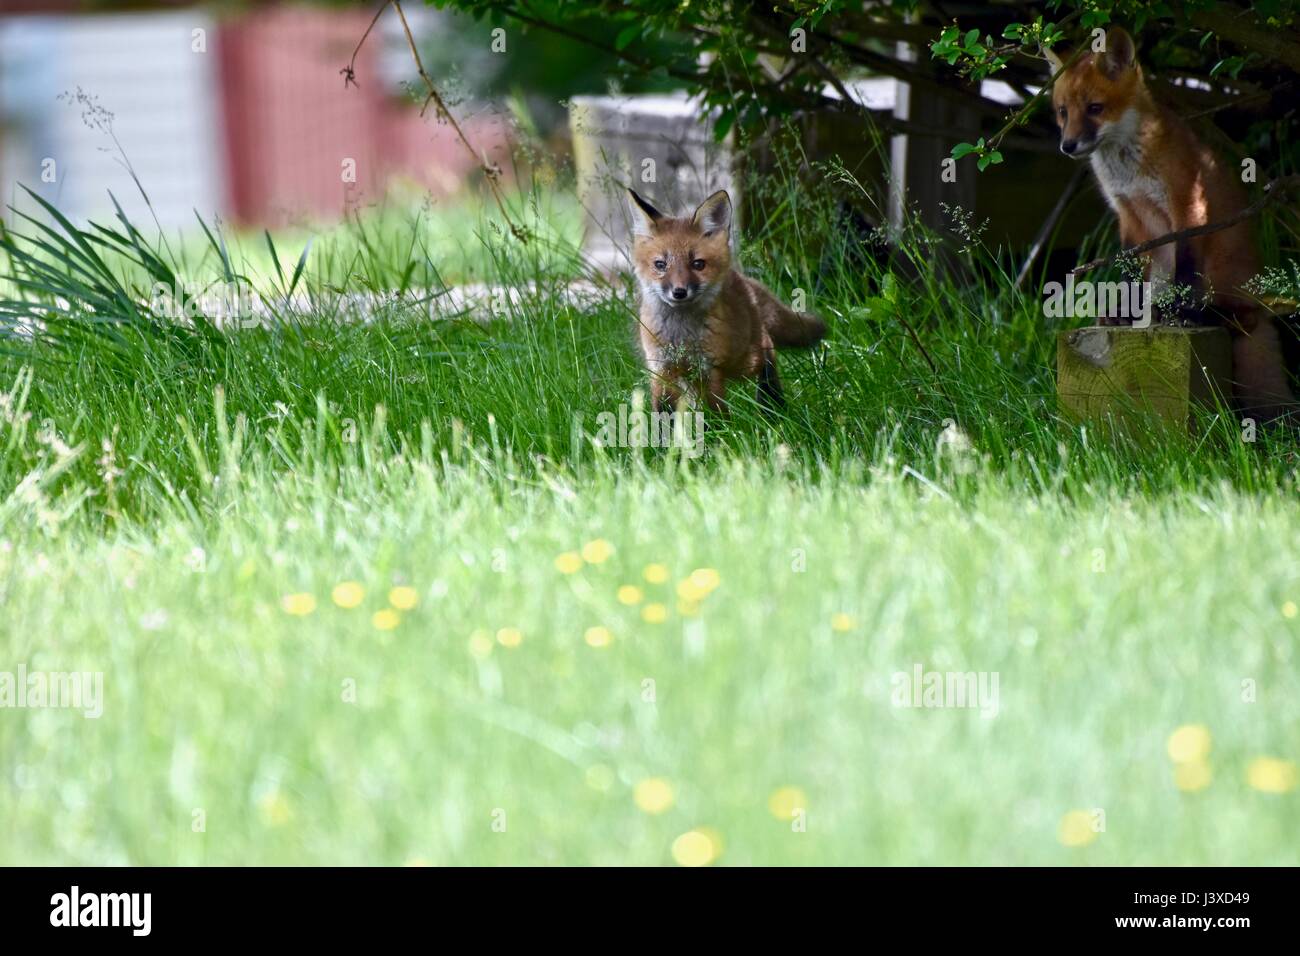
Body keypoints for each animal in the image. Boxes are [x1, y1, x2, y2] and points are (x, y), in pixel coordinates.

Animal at [627, 188, 827, 415]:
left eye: (698, 264)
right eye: (660, 265)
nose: (679, 292)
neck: (680, 336)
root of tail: (744, 280)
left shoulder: (710, 369)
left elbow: (717, 414)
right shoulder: (661, 371)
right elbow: (662, 414)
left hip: (747, 360)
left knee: (767, 359)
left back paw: (772, 408)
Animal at [1047, 26, 1294, 418]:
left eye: (1095, 109)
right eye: (1062, 111)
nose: (1067, 146)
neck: (1129, 171)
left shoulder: (1187, 205)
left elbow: (1187, 270)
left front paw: (1183, 311)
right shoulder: (1128, 214)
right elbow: (1129, 269)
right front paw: (1125, 312)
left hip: (1225, 271)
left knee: (1244, 318)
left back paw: (1207, 315)